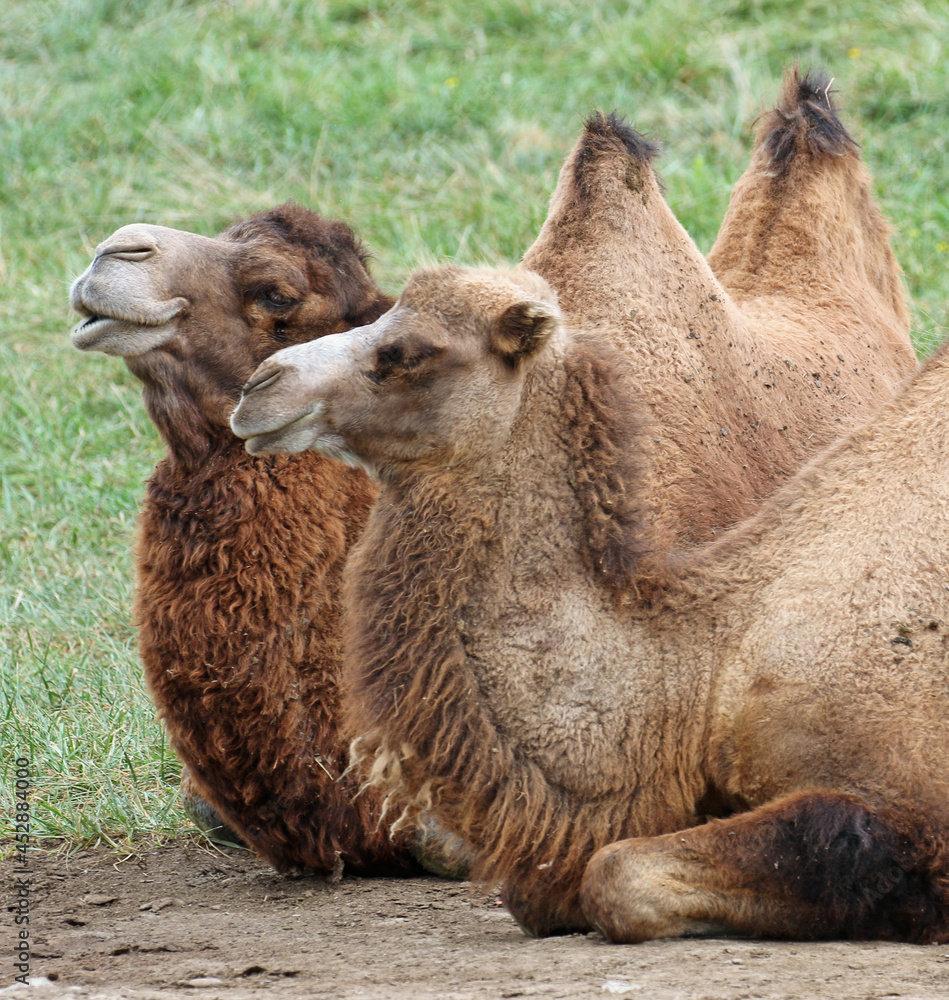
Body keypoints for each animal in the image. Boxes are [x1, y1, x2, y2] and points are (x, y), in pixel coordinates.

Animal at [230, 262, 949, 944]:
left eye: (408, 351)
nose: (258, 385)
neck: (708, 668)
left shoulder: (899, 792)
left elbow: (616, 874)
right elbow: (546, 892)